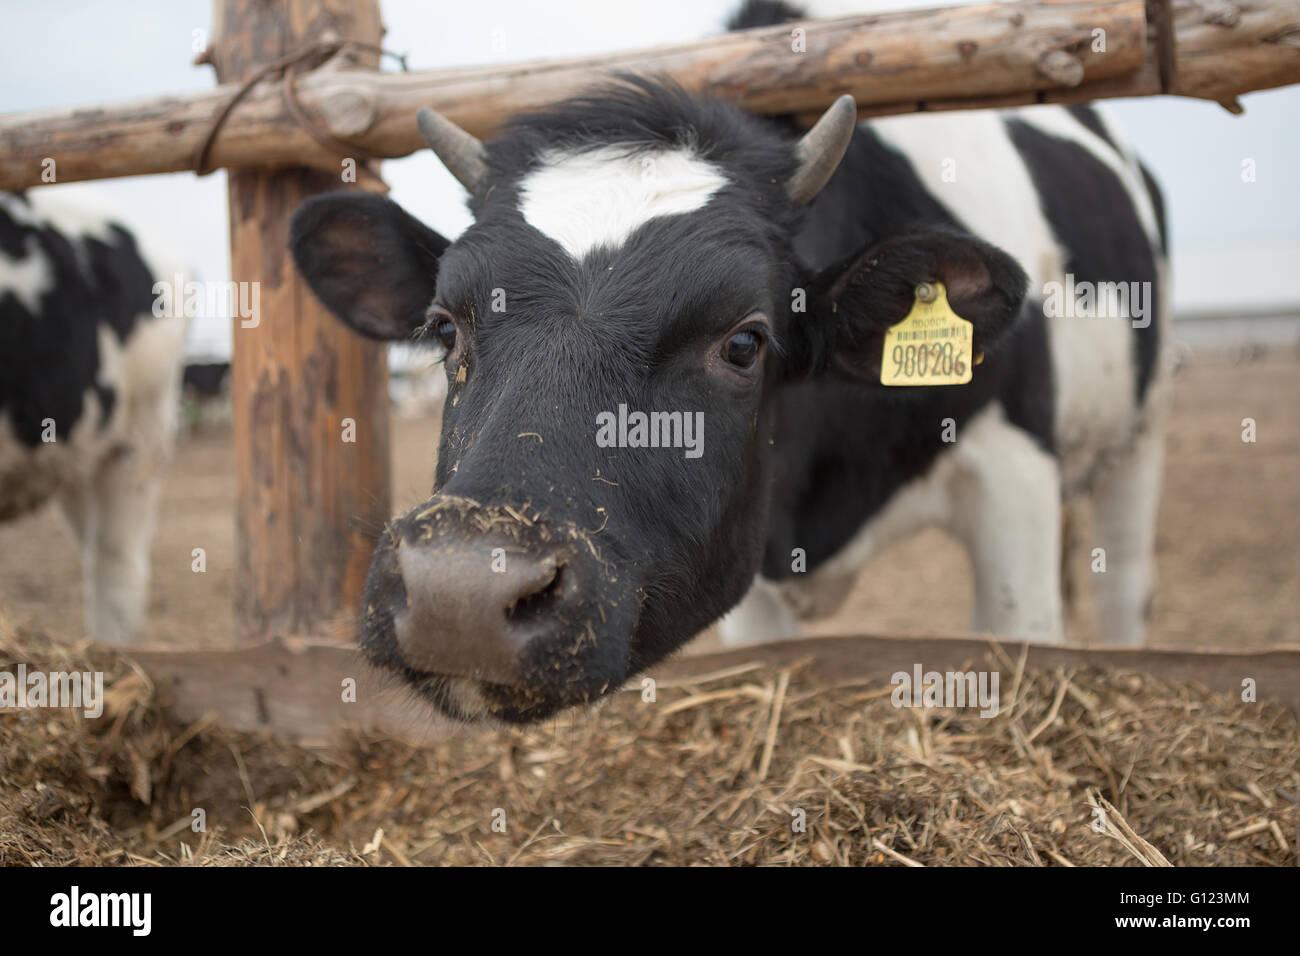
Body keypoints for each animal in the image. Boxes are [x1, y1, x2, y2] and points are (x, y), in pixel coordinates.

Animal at [289, 0, 1168, 723]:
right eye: (444, 329)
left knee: (1124, 583)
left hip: (1137, 436)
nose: (460, 593)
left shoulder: (1015, 476)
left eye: (744, 342)